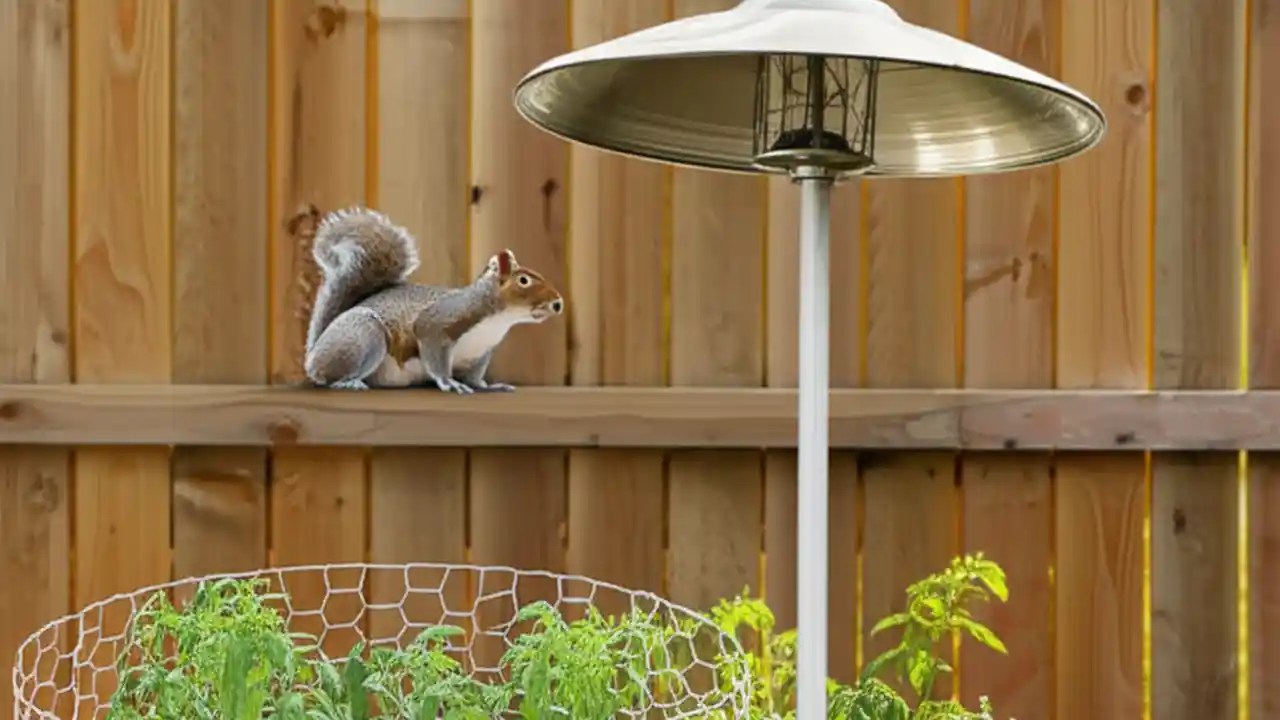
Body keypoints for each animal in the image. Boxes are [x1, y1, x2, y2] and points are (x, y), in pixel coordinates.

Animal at [297, 205, 564, 393]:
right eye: (524, 281)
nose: (558, 303)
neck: (498, 320)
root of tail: (314, 352)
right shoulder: (436, 324)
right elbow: (435, 356)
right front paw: (449, 383)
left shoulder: (480, 353)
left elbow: (475, 378)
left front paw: (488, 386)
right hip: (363, 335)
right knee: (328, 376)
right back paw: (347, 382)